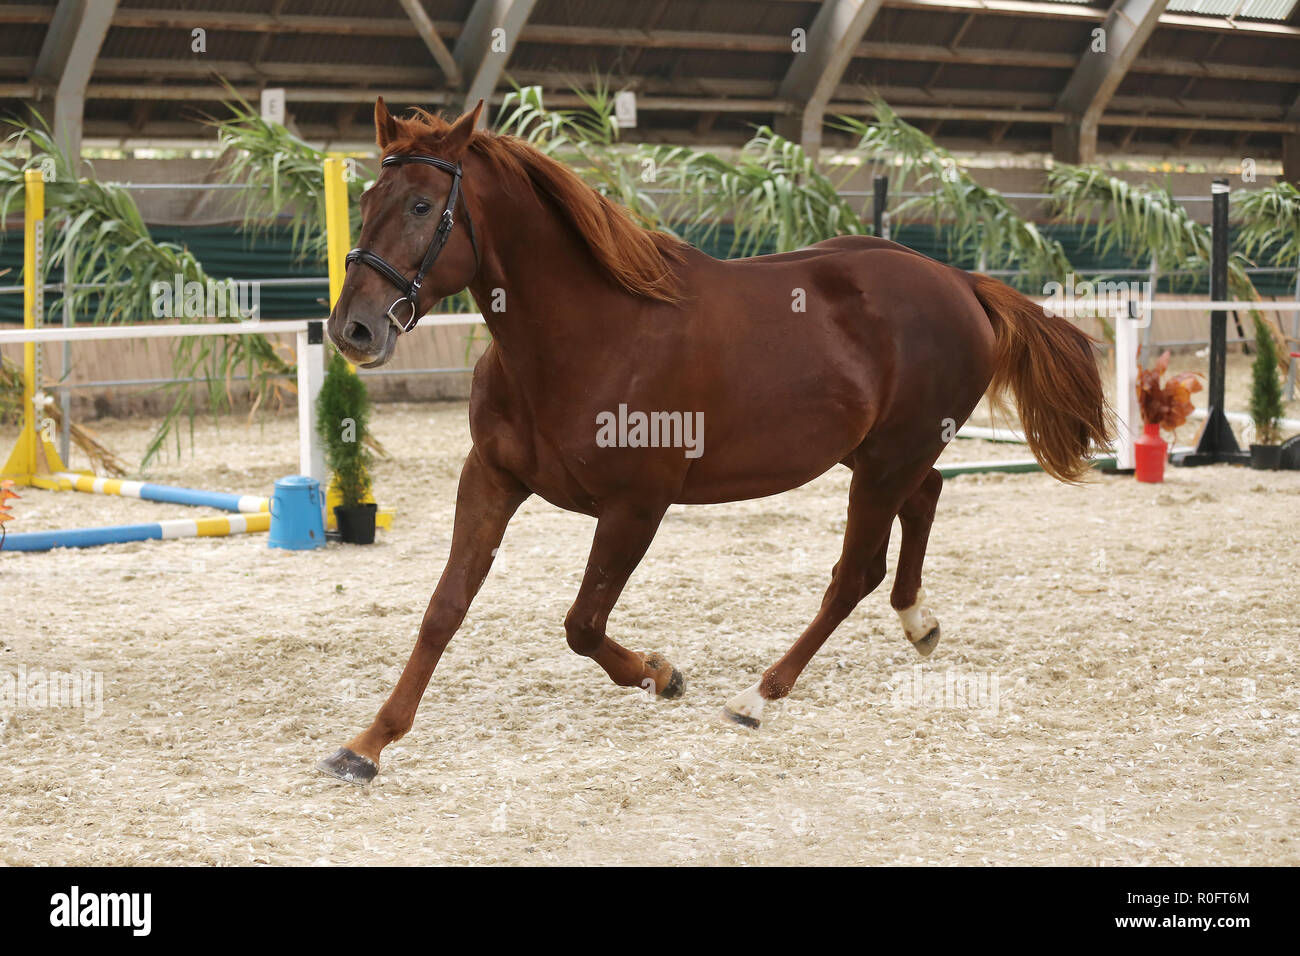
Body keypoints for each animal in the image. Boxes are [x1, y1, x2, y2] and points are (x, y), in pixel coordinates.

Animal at [318, 98, 1111, 785]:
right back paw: (919, 623)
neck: (587, 336)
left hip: (884, 462)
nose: (352, 328)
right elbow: (443, 610)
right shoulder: (491, 478)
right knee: (927, 499)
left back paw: (759, 696)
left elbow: (581, 624)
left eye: (422, 206)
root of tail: (960, 281)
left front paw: (660, 674)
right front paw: (368, 744)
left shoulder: (636, 507)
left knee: (855, 572)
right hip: (880, 454)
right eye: (367, 199)